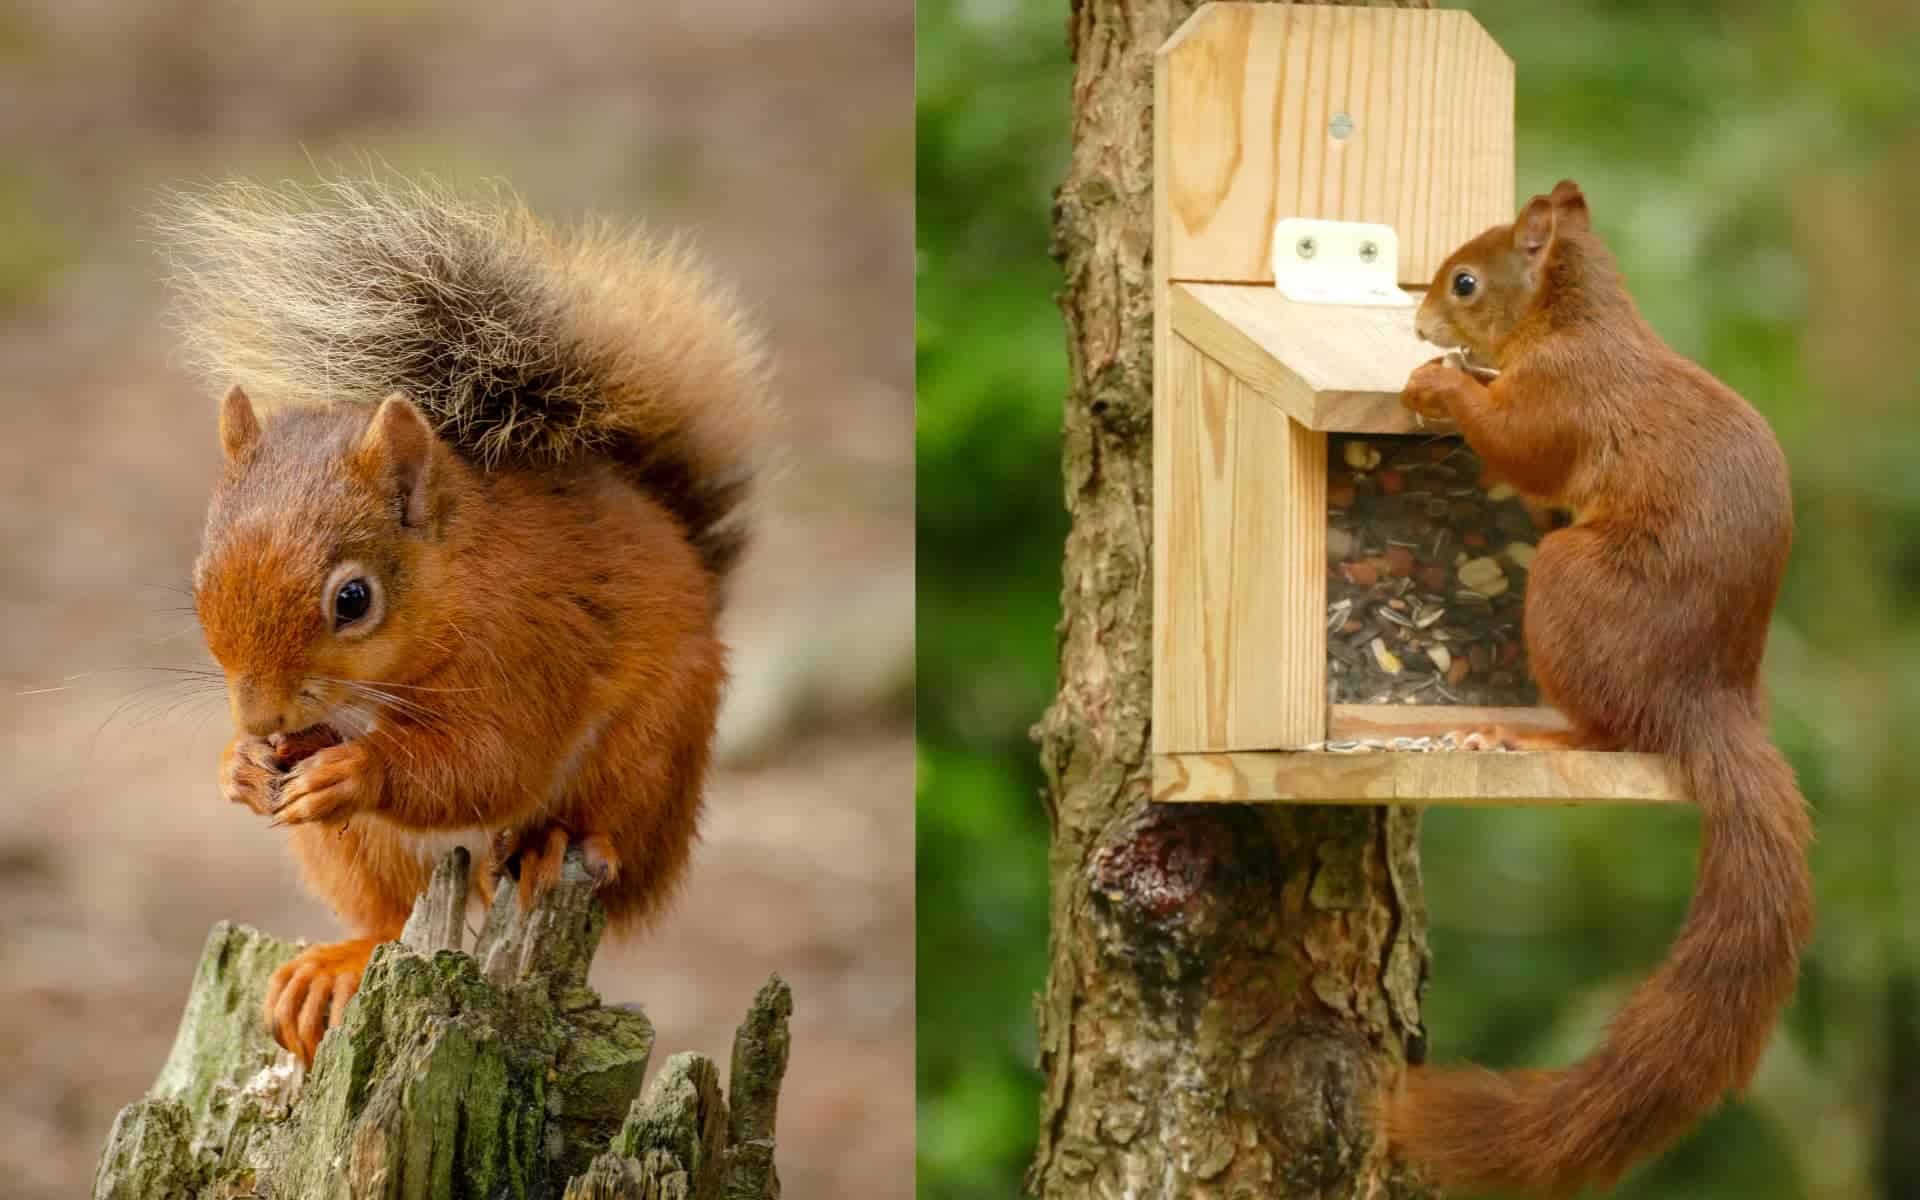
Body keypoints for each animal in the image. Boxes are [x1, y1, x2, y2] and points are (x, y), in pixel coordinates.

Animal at [162, 177, 772, 1066]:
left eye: (353, 600)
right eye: (199, 578)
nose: (264, 719)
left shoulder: (527, 646)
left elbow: (490, 762)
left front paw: (359, 771)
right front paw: (238, 766)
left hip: (648, 758)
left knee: (608, 848)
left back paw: (551, 843)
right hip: (352, 850)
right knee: (387, 918)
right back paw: (338, 965)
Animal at [1388, 181, 1815, 1195]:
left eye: (1465, 282)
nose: (1419, 325)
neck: (1572, 321)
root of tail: (1710, 703)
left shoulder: (1565, 398)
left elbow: (1516, 443)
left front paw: (1443, 384)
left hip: (1569, 586)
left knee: (1608, 734)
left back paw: (1526, 737)